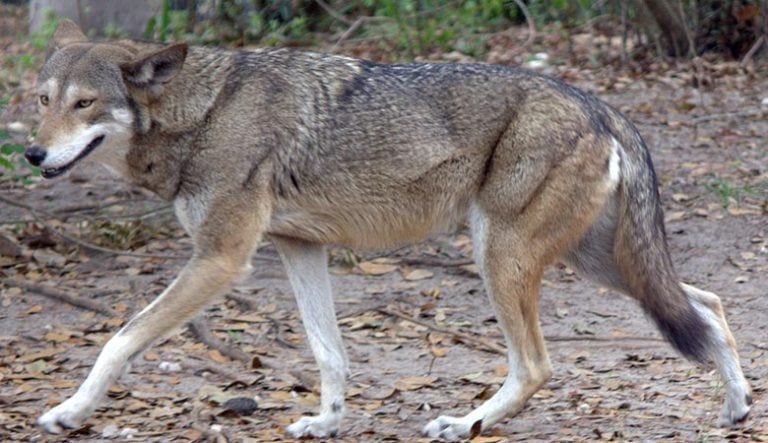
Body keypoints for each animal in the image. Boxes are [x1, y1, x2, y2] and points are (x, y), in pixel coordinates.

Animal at [29, 20, 751, 439]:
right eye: (42, 100)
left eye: (84, 103)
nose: (33, 154)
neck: (203, 113)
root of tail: (597, 102)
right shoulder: (298, 248)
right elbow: (329, 352)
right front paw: (326, 421)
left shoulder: (221, 258)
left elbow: (120, 339)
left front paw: (70, 411)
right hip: (596, 262)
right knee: (708, 303)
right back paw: (737, 407)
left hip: (504, 257)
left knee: (538, 365)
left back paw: (464, 422)